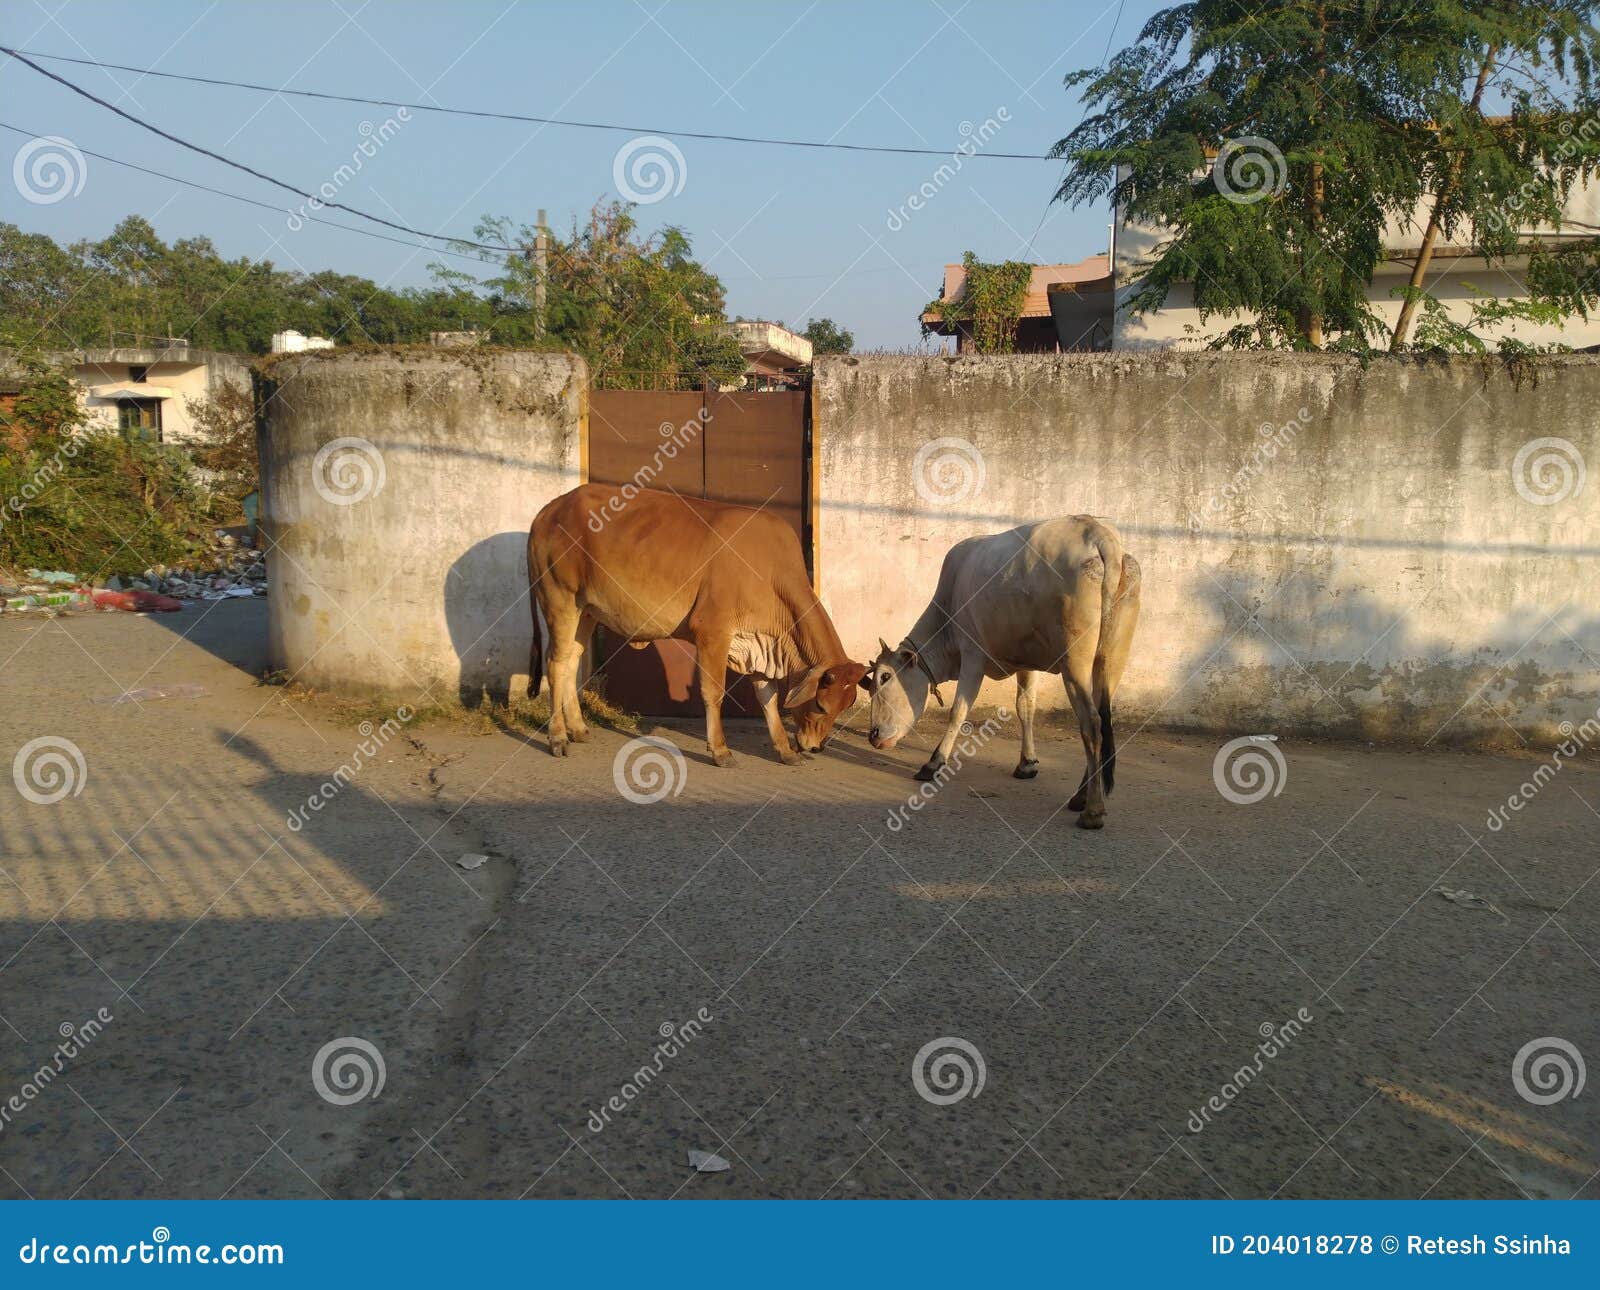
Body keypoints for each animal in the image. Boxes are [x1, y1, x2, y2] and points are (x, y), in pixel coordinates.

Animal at [528, 484, 867, 765]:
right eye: (821, 706)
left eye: (845, 705)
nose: (815, 747)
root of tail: (549, 510)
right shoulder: (713, 632)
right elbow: (713, 693)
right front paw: (720, 750)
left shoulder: (757, 643)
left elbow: (767, 698)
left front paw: (785, 750)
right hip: (560, 599)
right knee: (555, 664)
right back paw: (557, 737)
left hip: (586, 611)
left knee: (571, 662)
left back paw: (578, 728)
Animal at [861, 517, 1140, 829]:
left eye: (885, 677)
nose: (873, 735)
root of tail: (1098, 533)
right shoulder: (1026, 664)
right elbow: (1025, 707)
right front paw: (1027, 764)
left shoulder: (972, 654)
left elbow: (958, 711)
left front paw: (934, 763)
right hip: (1111, 660)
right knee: (1103, 720)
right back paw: (1081, 797)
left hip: (1074, 663)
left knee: (1091, 723)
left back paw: (1092, 810)